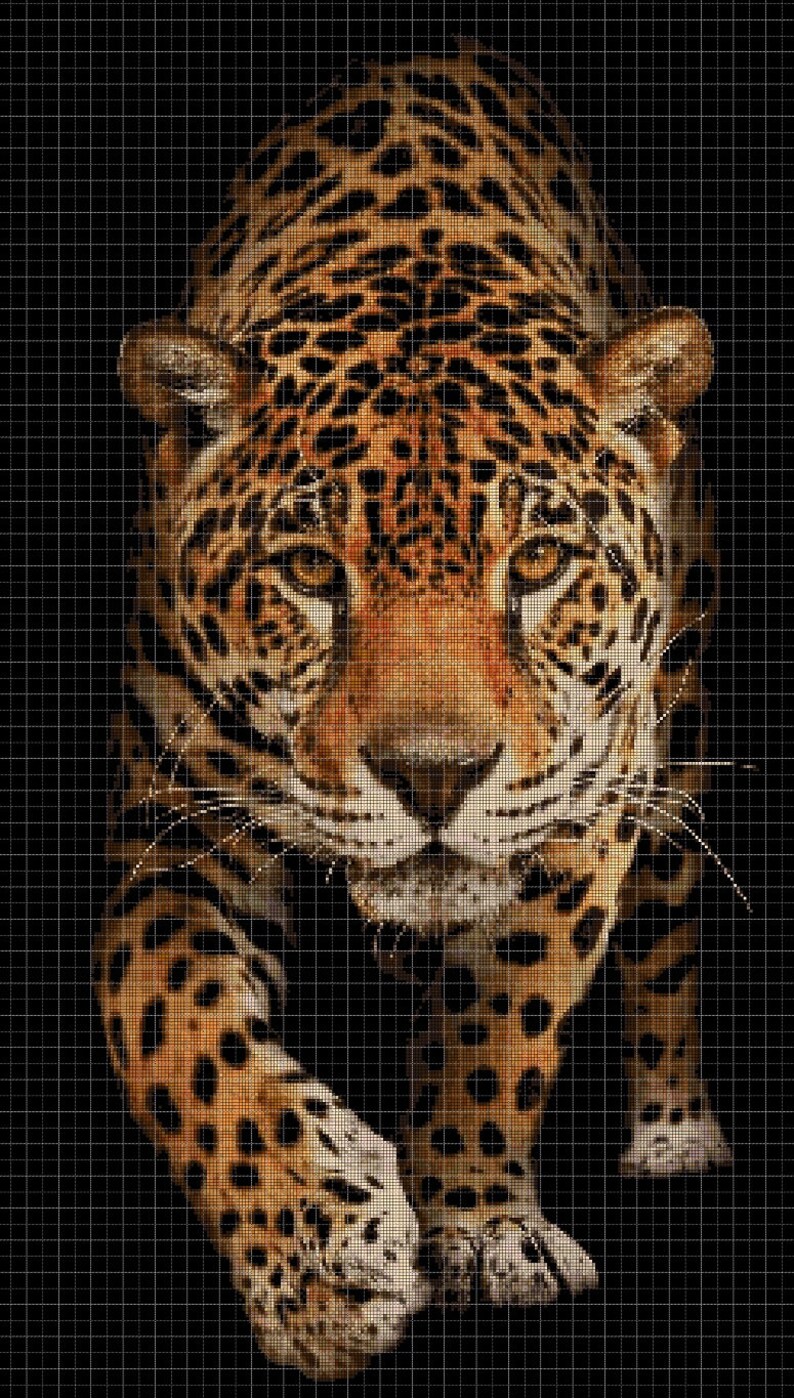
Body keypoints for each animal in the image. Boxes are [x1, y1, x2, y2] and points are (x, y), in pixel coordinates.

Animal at [95, 40, 732, 1381]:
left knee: (667, 925)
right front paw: (320, 1263)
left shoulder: (584, 800)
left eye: (537, 562)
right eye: (309, 569)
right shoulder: (172, 823)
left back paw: (672, 1132)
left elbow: (502, 1020)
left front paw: (480, 1225)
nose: (433, 776)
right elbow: (173, 1026)